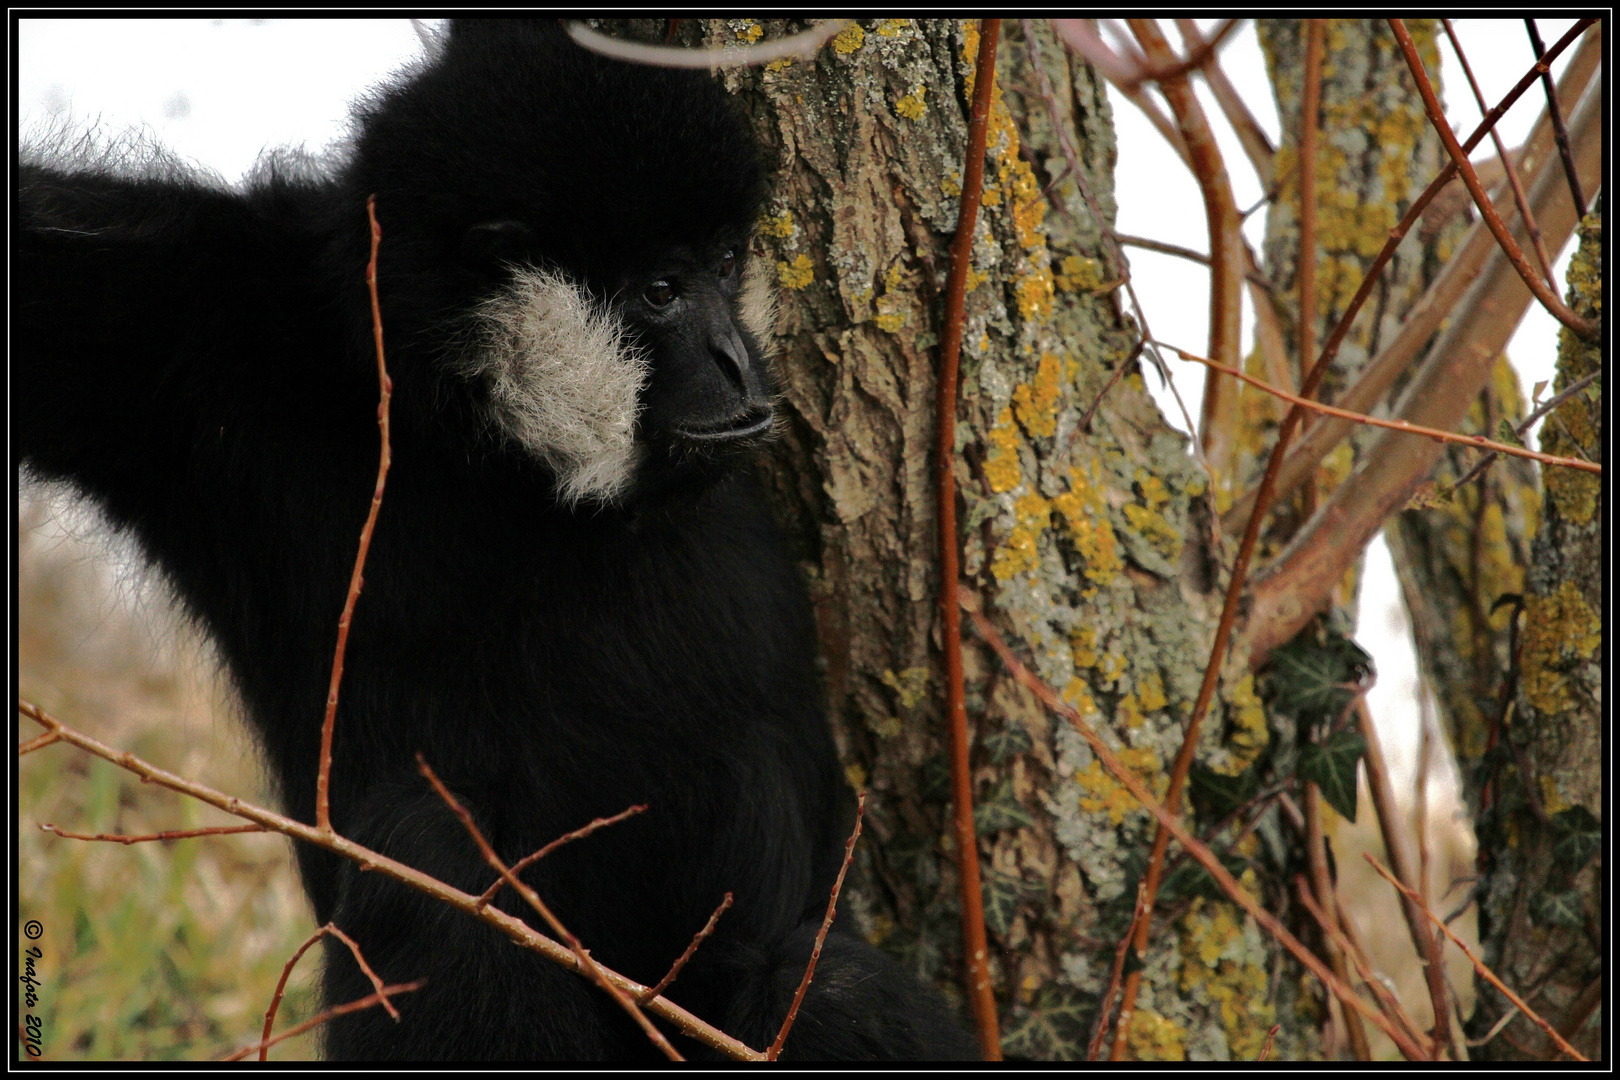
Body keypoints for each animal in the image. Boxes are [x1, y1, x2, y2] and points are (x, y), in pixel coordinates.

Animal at [16, 19, 974, 1061]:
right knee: (428, 860)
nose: (735, 359)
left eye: (726, 265)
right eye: (663, 291)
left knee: (828, 984)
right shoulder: (208, 359)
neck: (495, 454)